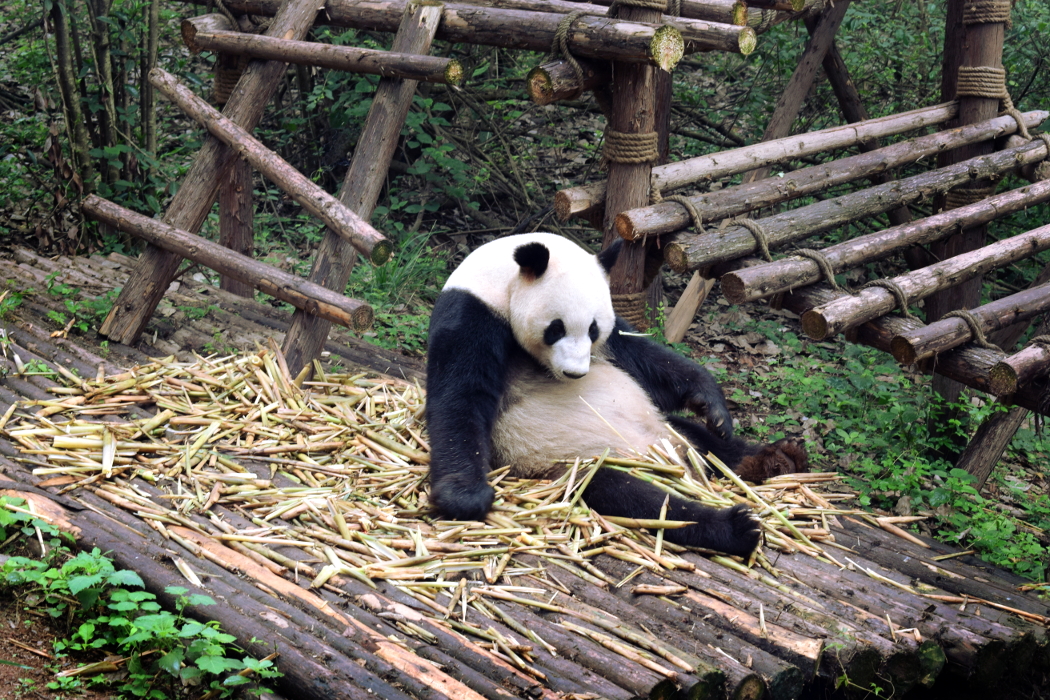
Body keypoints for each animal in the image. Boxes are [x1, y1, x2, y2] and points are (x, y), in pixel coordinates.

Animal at [425, 233, 806, 557]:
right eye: (555, 328)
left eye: (593, 329)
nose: (575, 373)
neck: (501, 279)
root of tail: (681, 463)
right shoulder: (473, 313)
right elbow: (460, 395)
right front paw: (466, 497)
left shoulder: (613, 342)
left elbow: (645, 360)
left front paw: (710, 405)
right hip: (574, 462)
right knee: (639, 498)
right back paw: (734, 527)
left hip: (668, 431)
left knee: (712, 445)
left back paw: (779, 457)